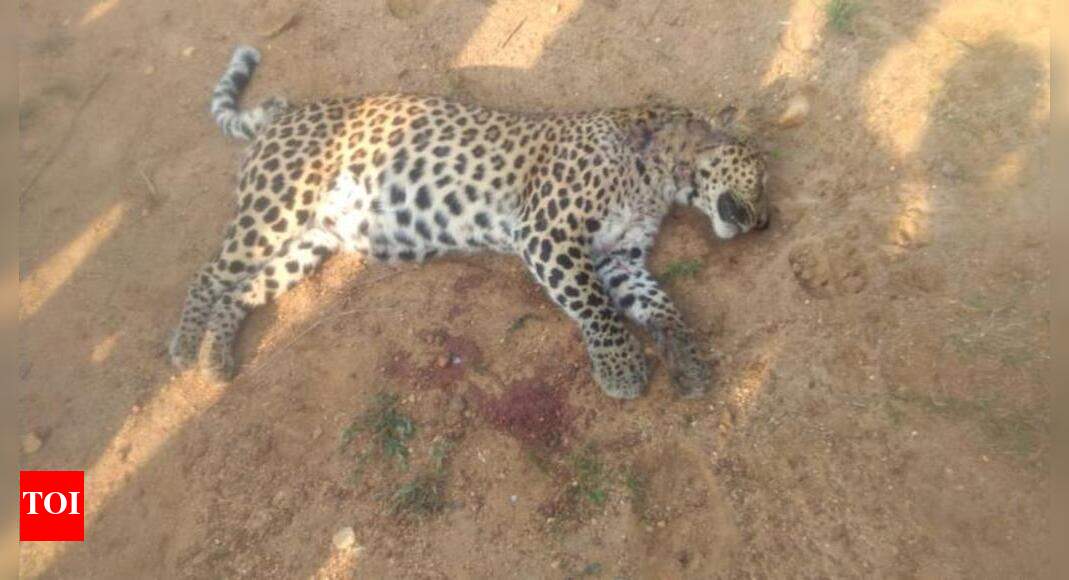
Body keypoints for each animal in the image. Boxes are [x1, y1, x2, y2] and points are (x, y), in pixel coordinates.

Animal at [168, 45, 771, 400]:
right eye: (764, 175)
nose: (768, 222)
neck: (663, 177)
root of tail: (284, 115)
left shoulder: (619, 257)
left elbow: (659, 304)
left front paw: (688, 360)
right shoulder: (549, 232)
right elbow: (594, 305)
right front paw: (621, 367)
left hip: (308, 242)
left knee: (239, 289)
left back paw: (216, 357)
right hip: (276, 208)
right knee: (208, 275)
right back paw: (184, 345)